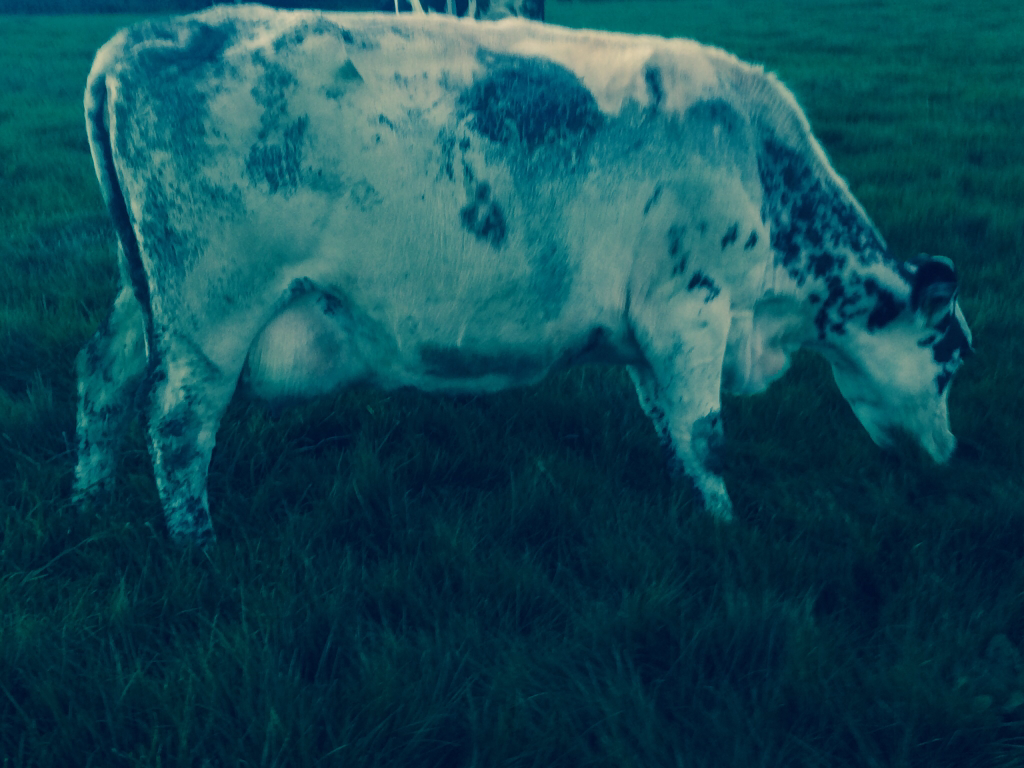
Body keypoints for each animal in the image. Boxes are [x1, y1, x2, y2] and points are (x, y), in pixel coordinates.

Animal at [73, 5, 972, 547]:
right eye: (951, 357)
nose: (948, 454)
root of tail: (133, 41)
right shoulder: (694, 305)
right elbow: (707, 432)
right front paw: (727, 531)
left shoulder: (647, 326)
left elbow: (670, 426)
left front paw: (690, 510)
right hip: (211, 311)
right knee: (177, 423)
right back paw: (198, 549)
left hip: (137, 292)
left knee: (101, 377)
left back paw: (87, 499)